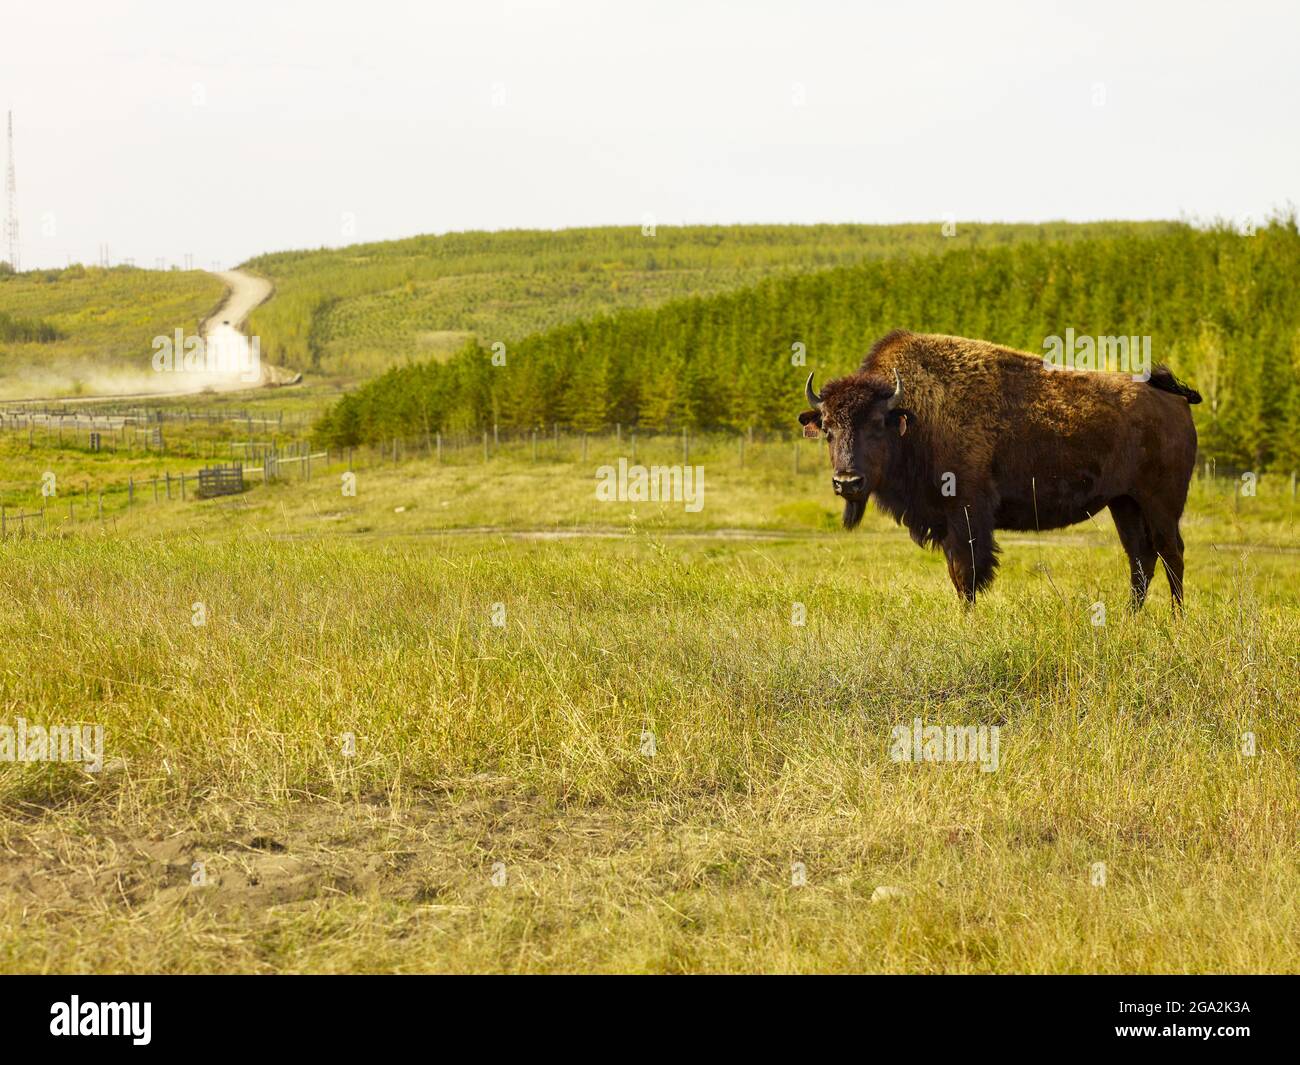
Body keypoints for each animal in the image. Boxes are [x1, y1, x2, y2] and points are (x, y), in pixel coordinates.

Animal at [798, 330, 1202, 608]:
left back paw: (1176, 620)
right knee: (1140, 558)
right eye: (828, 429)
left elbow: (966, 575)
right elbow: (957, 573)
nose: (847, 482)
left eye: (875, 424)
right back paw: (1131, 618)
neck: (913, 416)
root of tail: (1171, 396)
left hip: (1161, 503)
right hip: (1124, 503)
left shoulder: (966, 514)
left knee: (1171, 554)